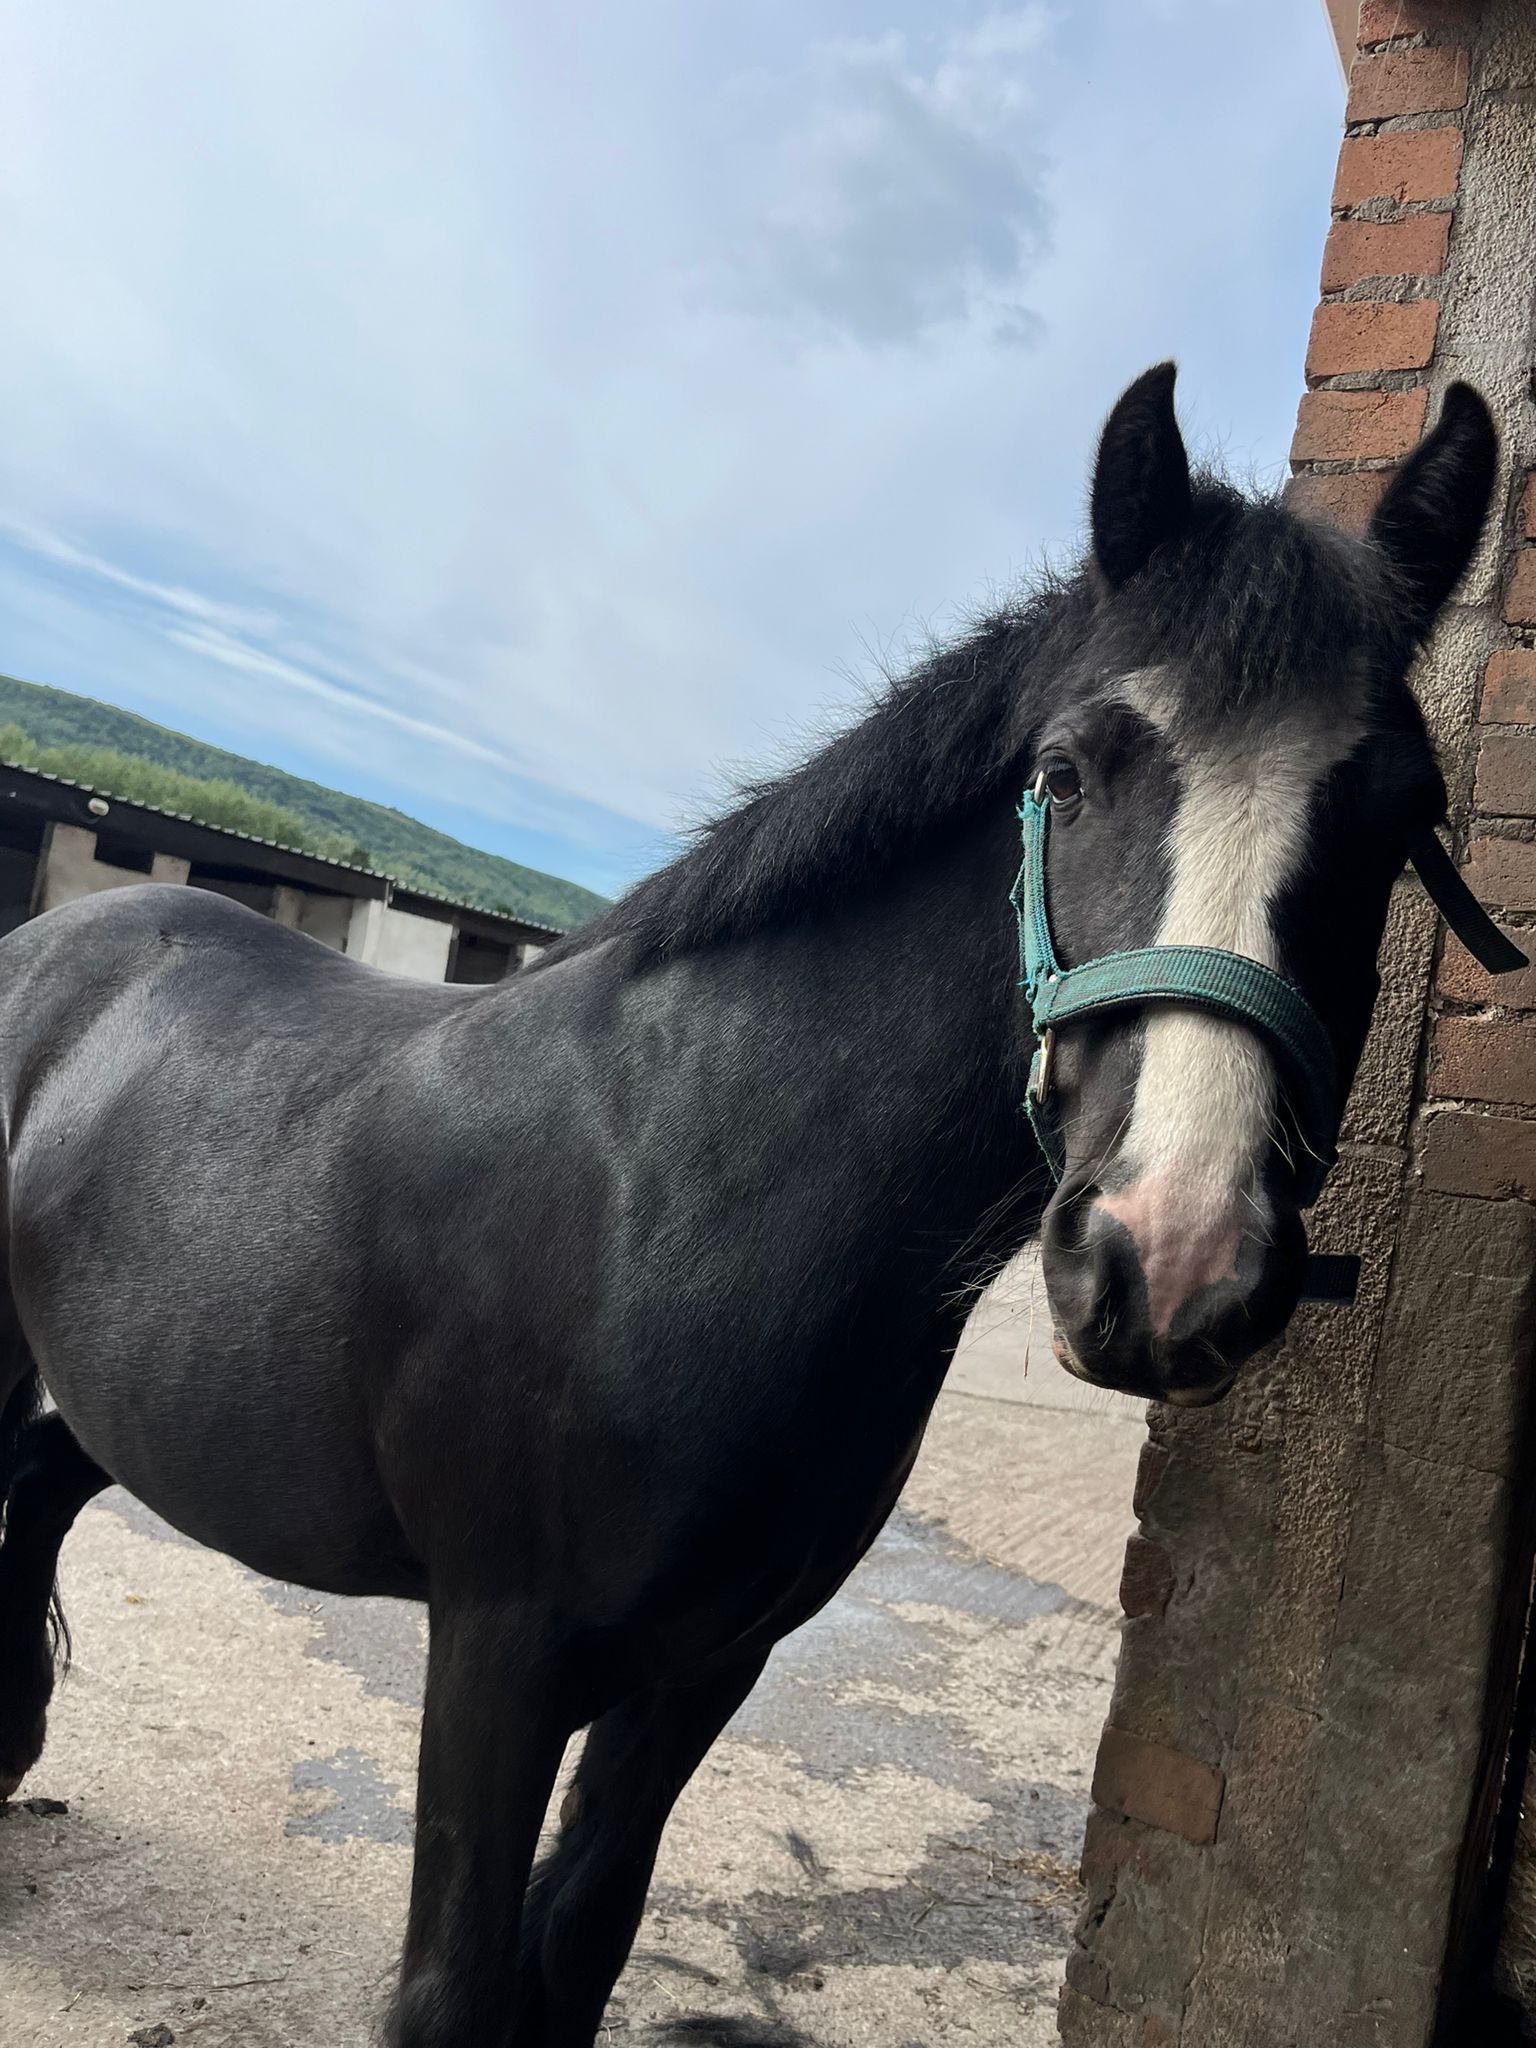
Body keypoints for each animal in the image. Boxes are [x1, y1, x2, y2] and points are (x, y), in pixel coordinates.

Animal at [0, 363, 1501, 2046]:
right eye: (1066, 773)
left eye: (1402, 813)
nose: (1169, 1258)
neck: (679, 1192)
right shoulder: (496, 1652)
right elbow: (455, 1993)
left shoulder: (703, 1667)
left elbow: (577, 1952)